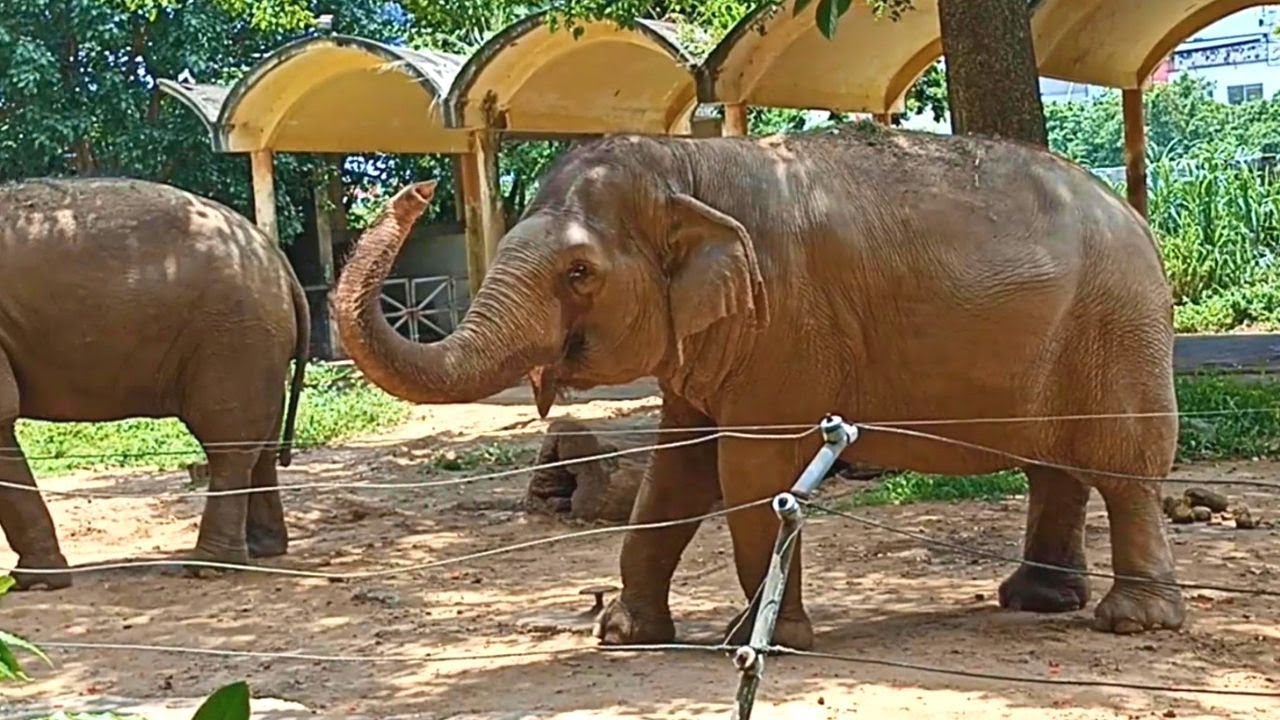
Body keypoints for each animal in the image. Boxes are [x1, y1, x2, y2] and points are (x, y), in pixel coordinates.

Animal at [0, 177, 310, 590]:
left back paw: (210, 567)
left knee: (229, 440)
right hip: (257, 340)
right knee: (262, 440)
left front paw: (36, 583)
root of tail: (280, 263)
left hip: (233, 333)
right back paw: (263, 549)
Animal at [332, 124, 1184, 649]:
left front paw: (755, 641)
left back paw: (1132, 622)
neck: (689, 162)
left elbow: (750, 468)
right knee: (1057, 468)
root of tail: (1138, 217)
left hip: (1121, 326)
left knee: (1125, 466)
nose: (411, 187)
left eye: (578, 272)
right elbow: (675, 472)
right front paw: (626, 635)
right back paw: (1034, 601)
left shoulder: (787, 320)